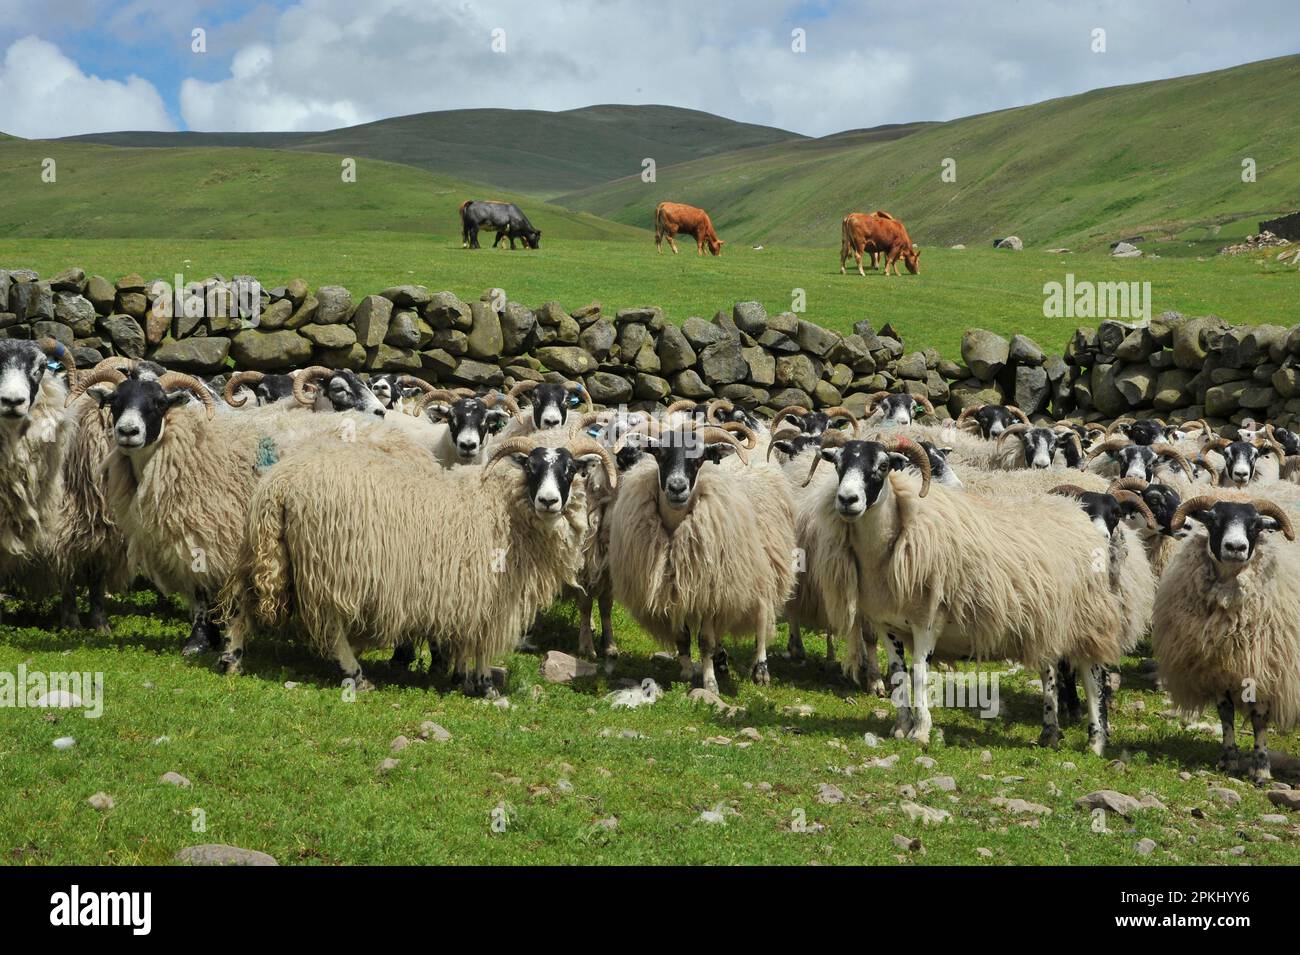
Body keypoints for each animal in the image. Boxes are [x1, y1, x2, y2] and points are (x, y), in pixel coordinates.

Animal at [220, 432, 615, 694]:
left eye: (570, 470)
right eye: (531, 467)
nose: (548, 501)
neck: (503, 507)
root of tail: (281, 484)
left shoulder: (466, 591)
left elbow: (463, 638)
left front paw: (460, 677)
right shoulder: (489, 592)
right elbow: (482, 641)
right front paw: (484, 684)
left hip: (267, 550)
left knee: (244, 601)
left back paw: (231, 660)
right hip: (333, 563)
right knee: (331, 626)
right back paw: (356, 674)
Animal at [609, 420, 797, 692]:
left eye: (698, 459)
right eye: (659, 453)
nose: (677, 487)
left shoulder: (709, 590)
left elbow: (705, 640)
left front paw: (710, 684)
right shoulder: (675, 587)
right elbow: (682, 637)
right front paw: (687, 672)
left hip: (762, 564)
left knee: (763, 614)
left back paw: (760, 670)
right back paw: (721, 661)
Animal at [800, 432, 1132, 753]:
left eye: (882, 466)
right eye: (838, 464)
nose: (847, 499)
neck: (896, 540)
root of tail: (1080, 519)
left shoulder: (928, 621)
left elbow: (919, 674)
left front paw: (921, 731)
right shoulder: (887, 624)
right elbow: (897, 674)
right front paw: (901, 727)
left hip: (1086, 616)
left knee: (1093, 676)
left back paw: (1095, 742)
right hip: (1047, 619)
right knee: (1048, 670)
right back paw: (1049, 732)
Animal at [1152, 495, 1300, 783]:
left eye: (1256, 525)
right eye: (1213, 520)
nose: (1235, 547)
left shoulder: (1263, 669)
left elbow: (1259, 719)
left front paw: (1261, 768)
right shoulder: (1217, 671)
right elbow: (1225, 714)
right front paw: (1228, 760)